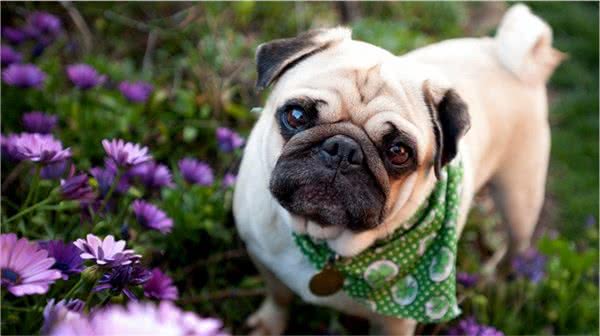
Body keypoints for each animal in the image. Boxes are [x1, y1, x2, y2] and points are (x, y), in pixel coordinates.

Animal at [233, 3, 564, 334]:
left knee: (516, 245)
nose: (343, 149)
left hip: (519, 200)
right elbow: (279, 296)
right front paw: (268, 324)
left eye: (399, 152)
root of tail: (507, 57)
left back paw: (496, 279)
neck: (324, 240)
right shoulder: (263, 258)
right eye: (297, 116)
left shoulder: (394, 324)